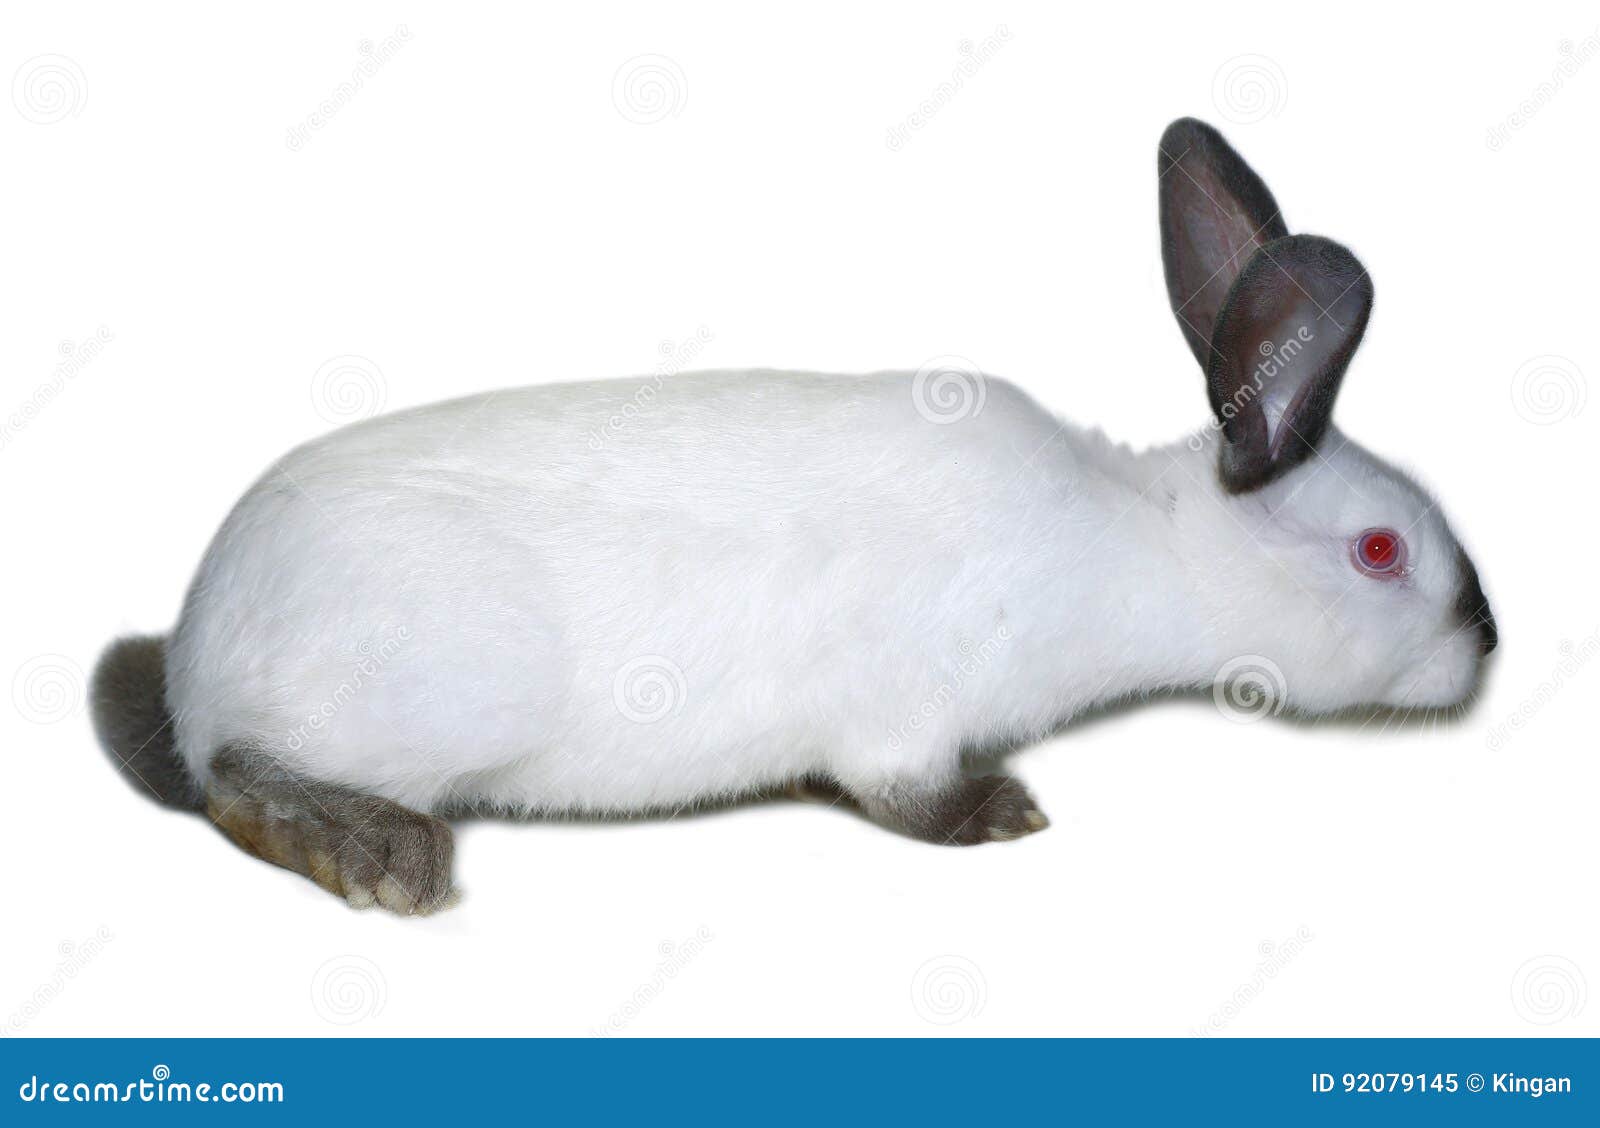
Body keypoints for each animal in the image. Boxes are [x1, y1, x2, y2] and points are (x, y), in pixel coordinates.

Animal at [92, 118, 1495, 914]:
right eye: (1382, 552)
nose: (1482, 650)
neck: (1140, 544)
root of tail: (202, 643)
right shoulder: (905, 716)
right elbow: (909, 799)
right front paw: (999, 816)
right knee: (236, 780)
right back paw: (382, 857)